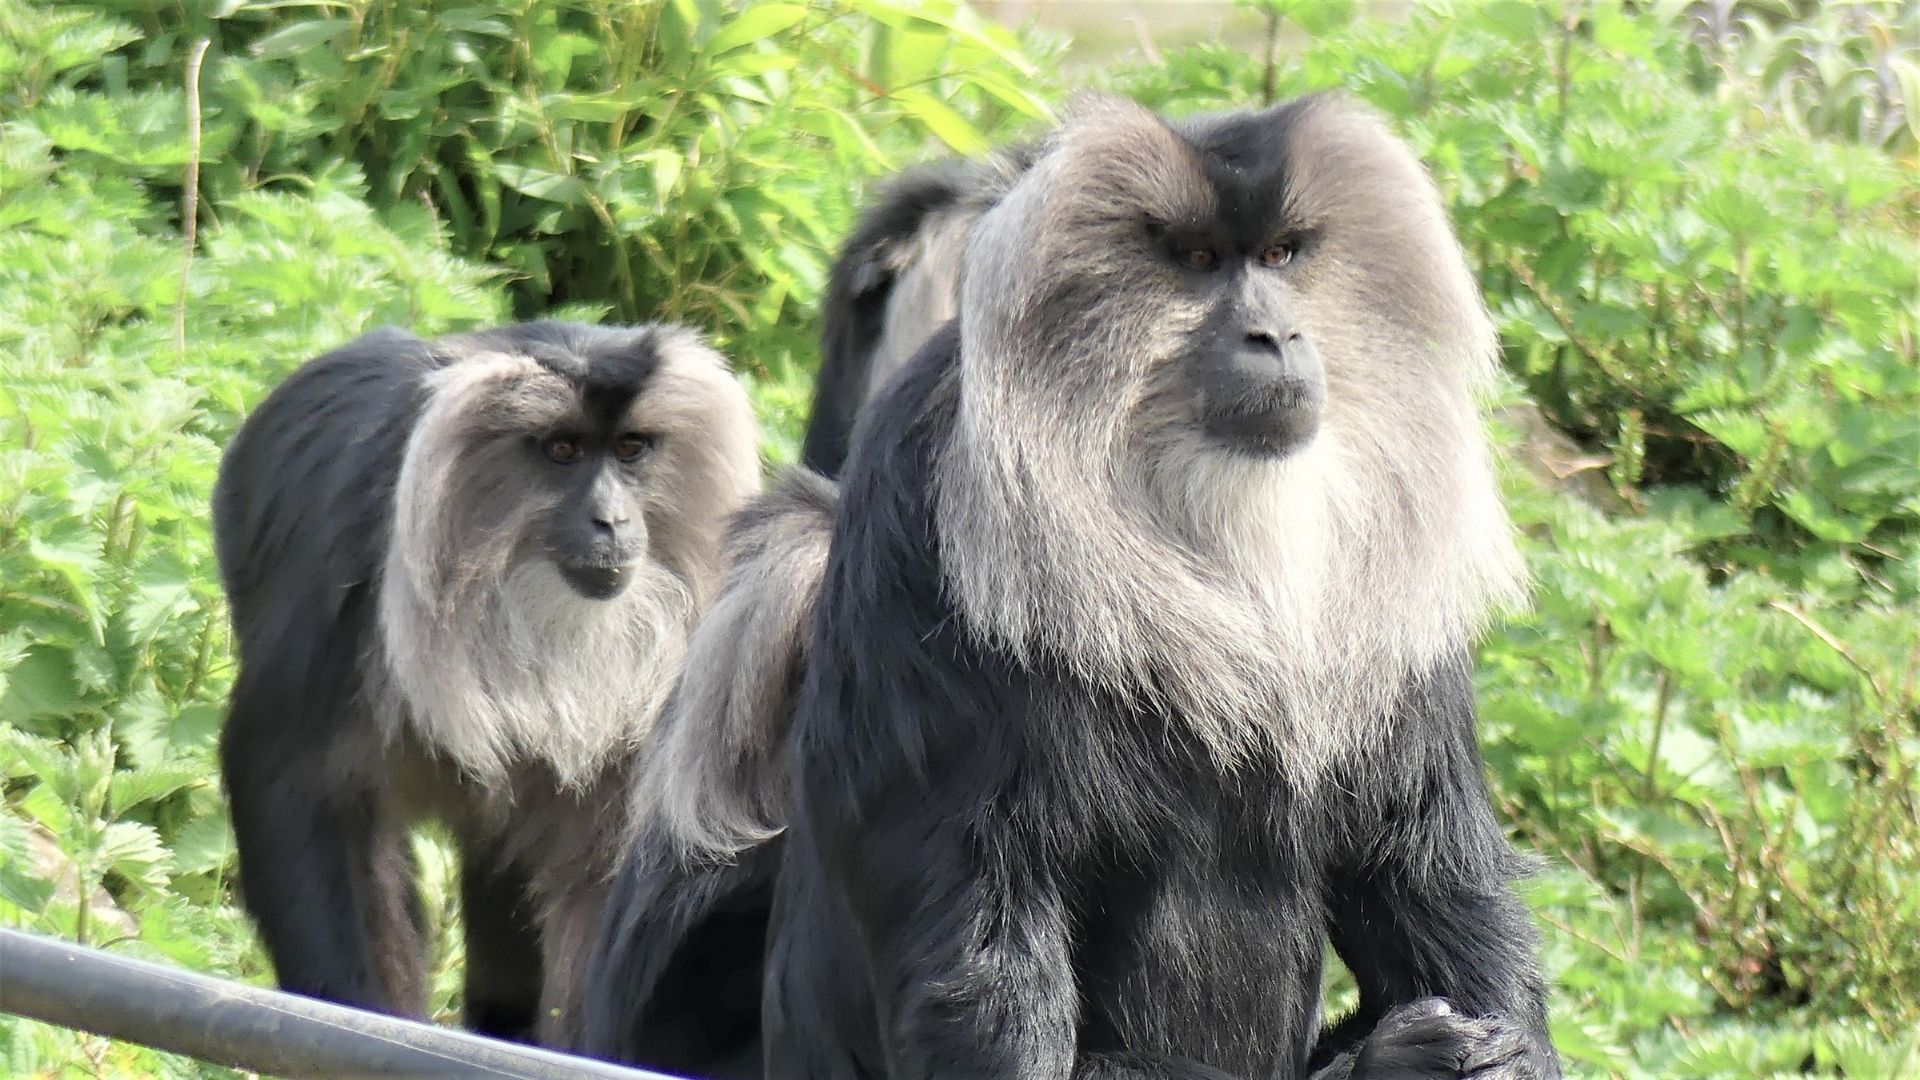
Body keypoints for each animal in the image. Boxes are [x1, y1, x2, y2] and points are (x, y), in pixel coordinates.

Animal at [588, 94, 1562, 1078]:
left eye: (1283, 254)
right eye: (1198, 261)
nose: (1279, 335)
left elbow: (1427, 866)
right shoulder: (917, 513)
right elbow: (978, 915)